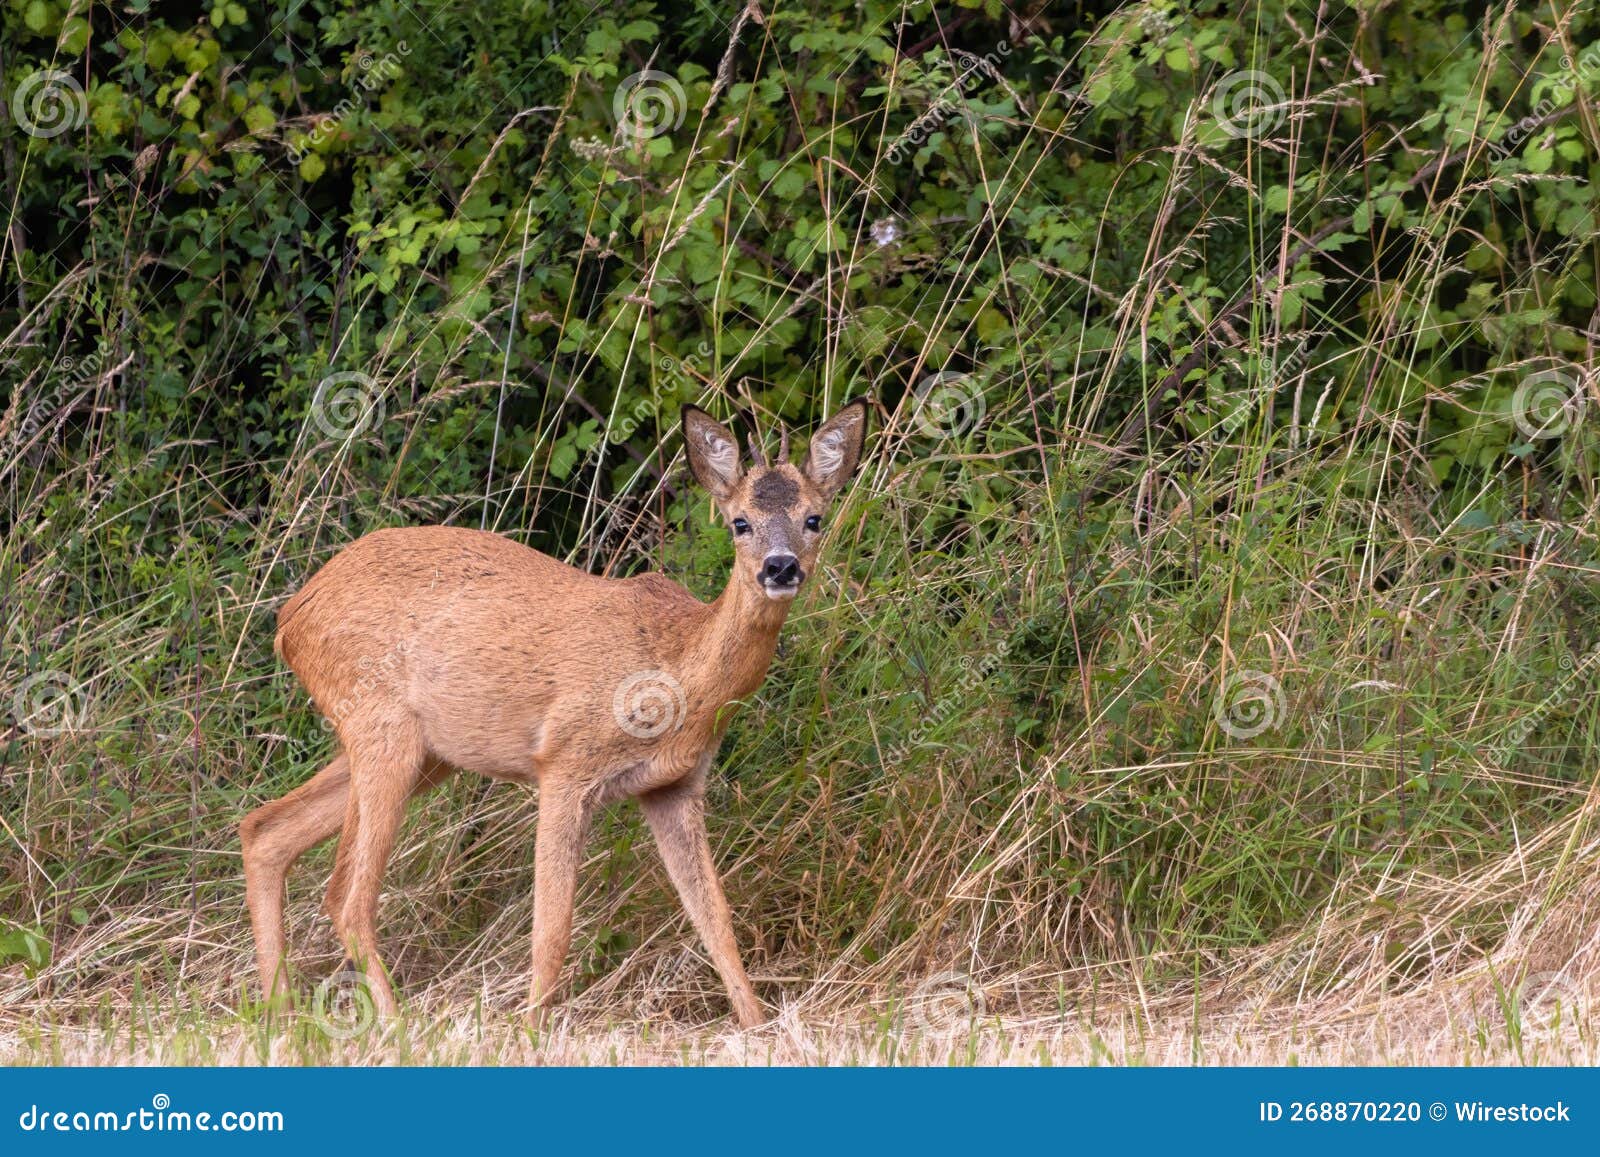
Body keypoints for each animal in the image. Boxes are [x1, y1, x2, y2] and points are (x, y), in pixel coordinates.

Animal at [240, 400, 870, 1029]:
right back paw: (393, 1025)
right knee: (347, 896)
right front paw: (529, 1028)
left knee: (266, 830)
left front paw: (757, 1026)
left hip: (422, 751)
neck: (676, 671)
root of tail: (290, 619)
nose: (780, 568)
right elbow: (553, 930)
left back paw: (280, 1014)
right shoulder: (565, 763)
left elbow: (717, 922)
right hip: (382, 726)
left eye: (814, 518)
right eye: (739, 522)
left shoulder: (674, 787)